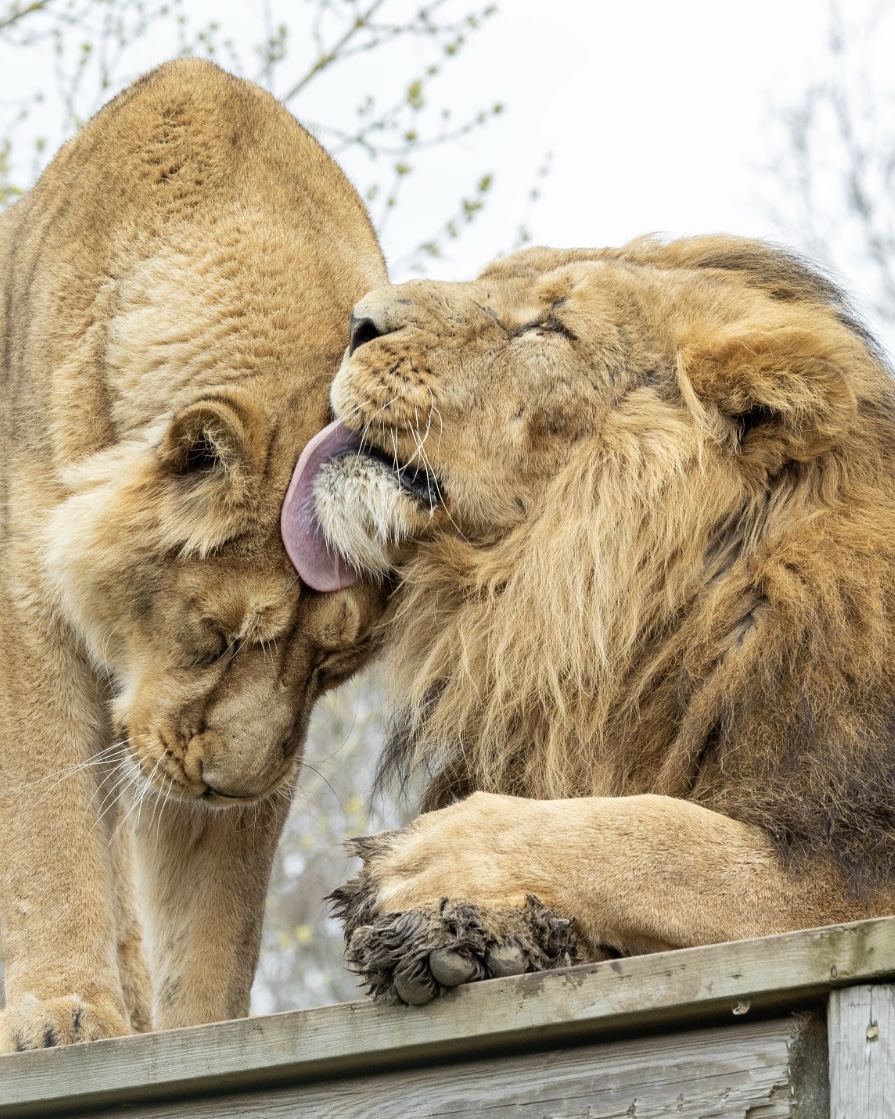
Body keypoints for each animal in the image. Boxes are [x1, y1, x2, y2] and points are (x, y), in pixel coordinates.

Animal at [0, 59, 387, 1049]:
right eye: (214, 636)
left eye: (331, 664)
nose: (224, 785)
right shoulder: (27, 613)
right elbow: (49, 827)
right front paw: (60, 1010)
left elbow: (214, 916)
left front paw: (205, 1032)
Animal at [280, 236, 895, 1005]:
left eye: (551, 327)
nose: (356, 322)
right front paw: (484, 933)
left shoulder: (849, 867)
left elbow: (670, 839)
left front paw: (430, 861)